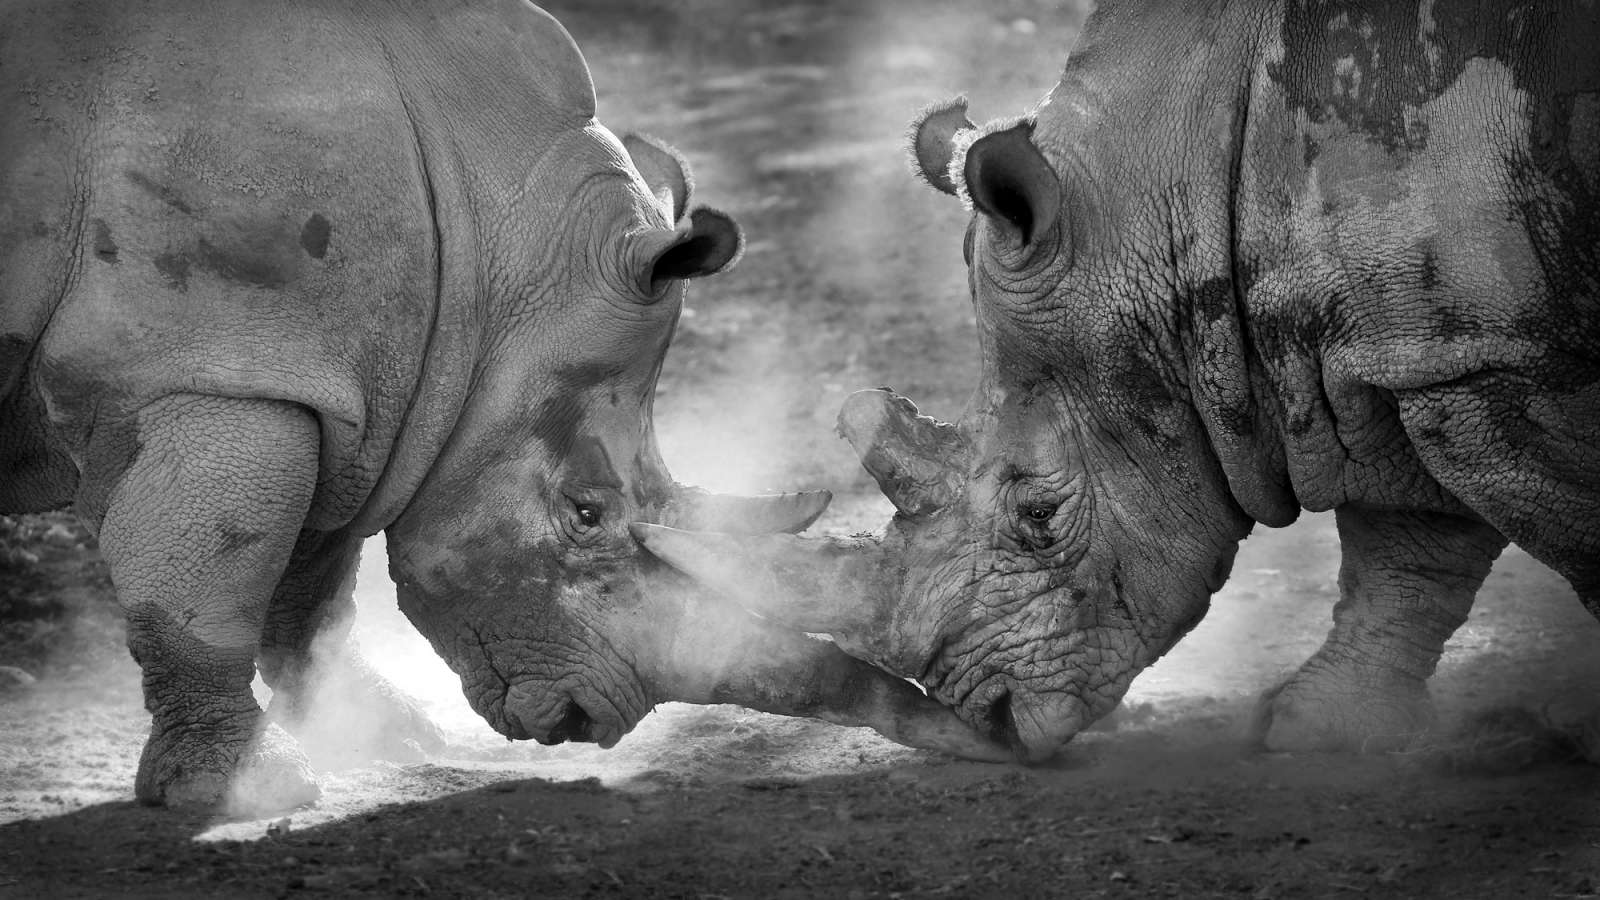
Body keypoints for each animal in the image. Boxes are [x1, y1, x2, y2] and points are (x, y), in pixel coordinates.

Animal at [0, 0, 1004, 814]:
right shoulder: (222, 369)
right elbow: (208, 581)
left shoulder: (343, 384)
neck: (486, 240)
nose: (593, 717)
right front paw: (245, 789)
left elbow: (311, 576)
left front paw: (380, 732)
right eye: (587, 514)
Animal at [635, 0, 1600, 762]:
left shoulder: (1476, 354)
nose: (992, 719)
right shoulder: (1407, 343)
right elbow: (1406, 547)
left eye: (1039, 517)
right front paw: (1314, 732)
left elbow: (1552, 530)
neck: (1190, 189)